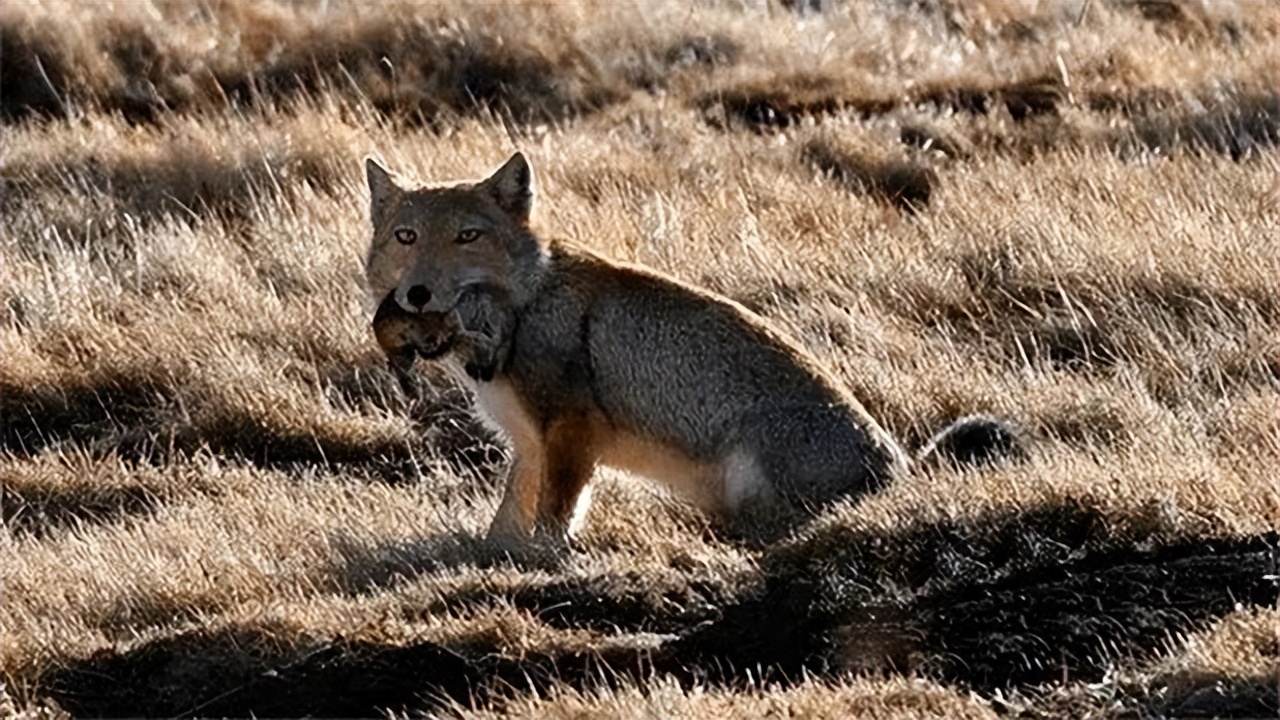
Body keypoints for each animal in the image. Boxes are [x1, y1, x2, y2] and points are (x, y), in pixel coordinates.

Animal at [365, 152, 1018, 544]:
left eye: (467, 236)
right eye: (406, 237)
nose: (416, 294)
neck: (523, 308)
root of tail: (899, 467)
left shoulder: (571, 431)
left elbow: (554, 516)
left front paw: (546, 560)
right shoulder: (529, 441)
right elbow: (508, 518)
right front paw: (496, 556)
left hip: (747, 467)